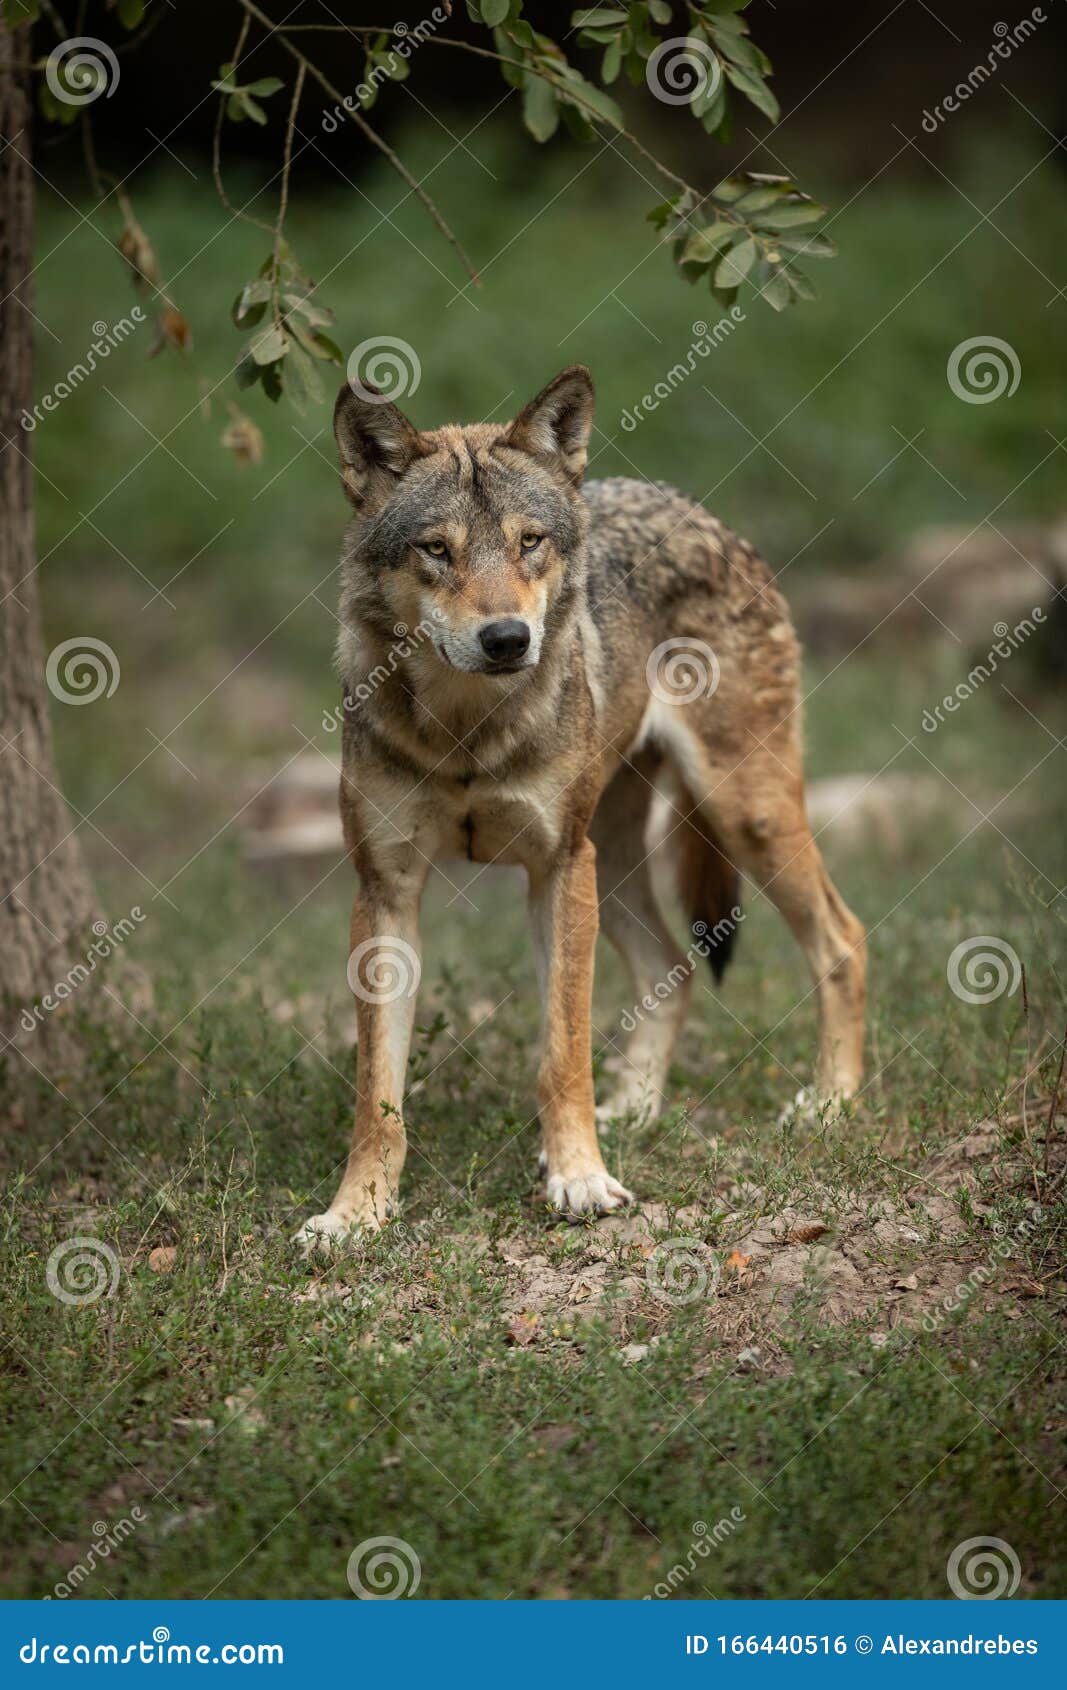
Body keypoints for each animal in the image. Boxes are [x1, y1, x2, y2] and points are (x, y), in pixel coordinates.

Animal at [296, 366, 866, 1248]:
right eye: (436, 550)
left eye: (529, 542)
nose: (505, 639)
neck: (466, 733)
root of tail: (694, 508)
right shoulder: (385, 892)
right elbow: (377, 1094)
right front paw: (355, 1212)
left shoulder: (558, 869)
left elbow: (561, 1053)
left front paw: (579, 1179)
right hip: (622, 856)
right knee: (671, 965)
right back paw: (634, 1109)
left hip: (741, 815)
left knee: (843, 939)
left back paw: (830, 1104)